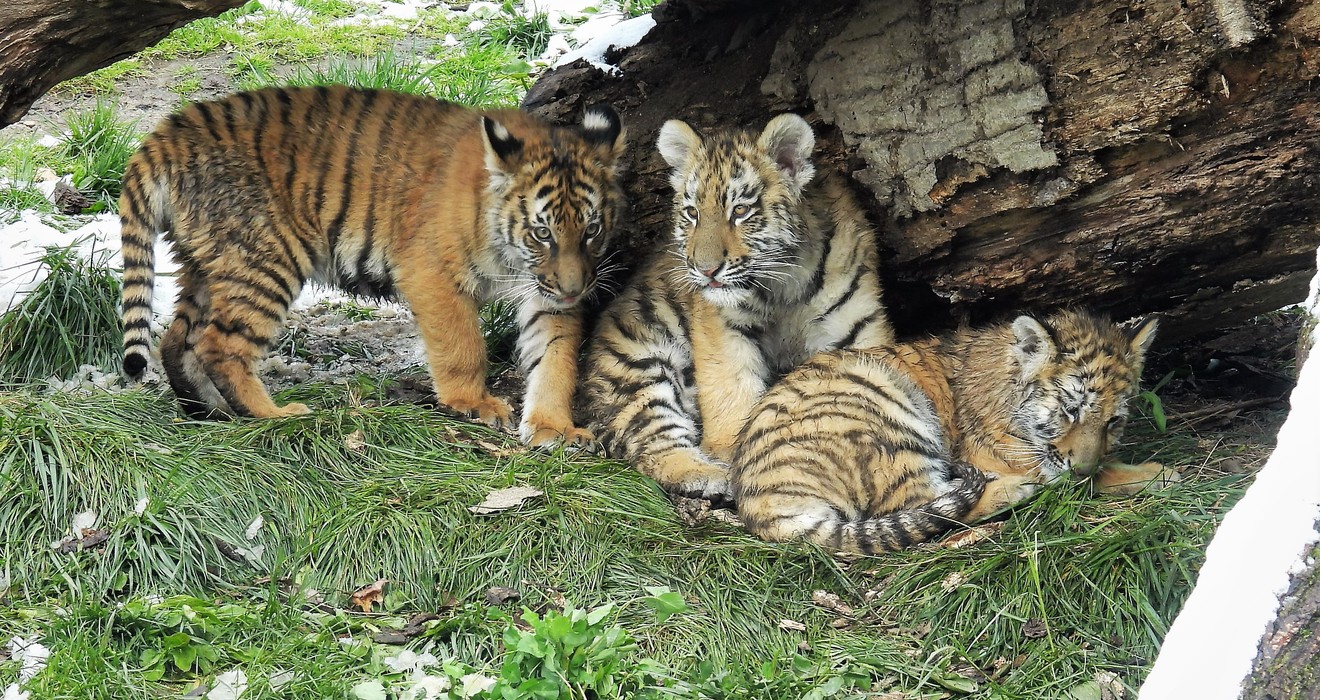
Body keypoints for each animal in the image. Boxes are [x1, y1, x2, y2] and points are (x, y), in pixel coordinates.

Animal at [118, 85, 625, 446]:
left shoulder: (545, 291)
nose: (575, 291)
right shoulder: (433, 273)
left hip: (209, 263)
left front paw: (554, 428)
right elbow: (463, 345)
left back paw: (210, 412)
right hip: (263, 261)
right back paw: (273, 415)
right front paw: (473, 403)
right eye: (543, 233)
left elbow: (555, 358)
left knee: (177, 339)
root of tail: (170, 131)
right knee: (219, 345)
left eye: (592, 230)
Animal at [578, 113, 893, 501]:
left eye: (740, 210)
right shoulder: (722, 330)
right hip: (638, 366)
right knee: (654, 444)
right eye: (692, 213)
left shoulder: (858, 326)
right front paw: (734, 456)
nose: (705, 269)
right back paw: (711, 475)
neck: (784, 284)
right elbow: (732, 394)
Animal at [731, 309, 1180, 554]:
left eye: (1113, 421)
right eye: (1070, 411)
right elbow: (1079, 476)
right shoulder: (997, 452)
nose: (1084, 467)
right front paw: (1158, 474)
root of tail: (759, 503)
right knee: (923, 505)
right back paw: (1014, 490)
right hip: (888, 423)